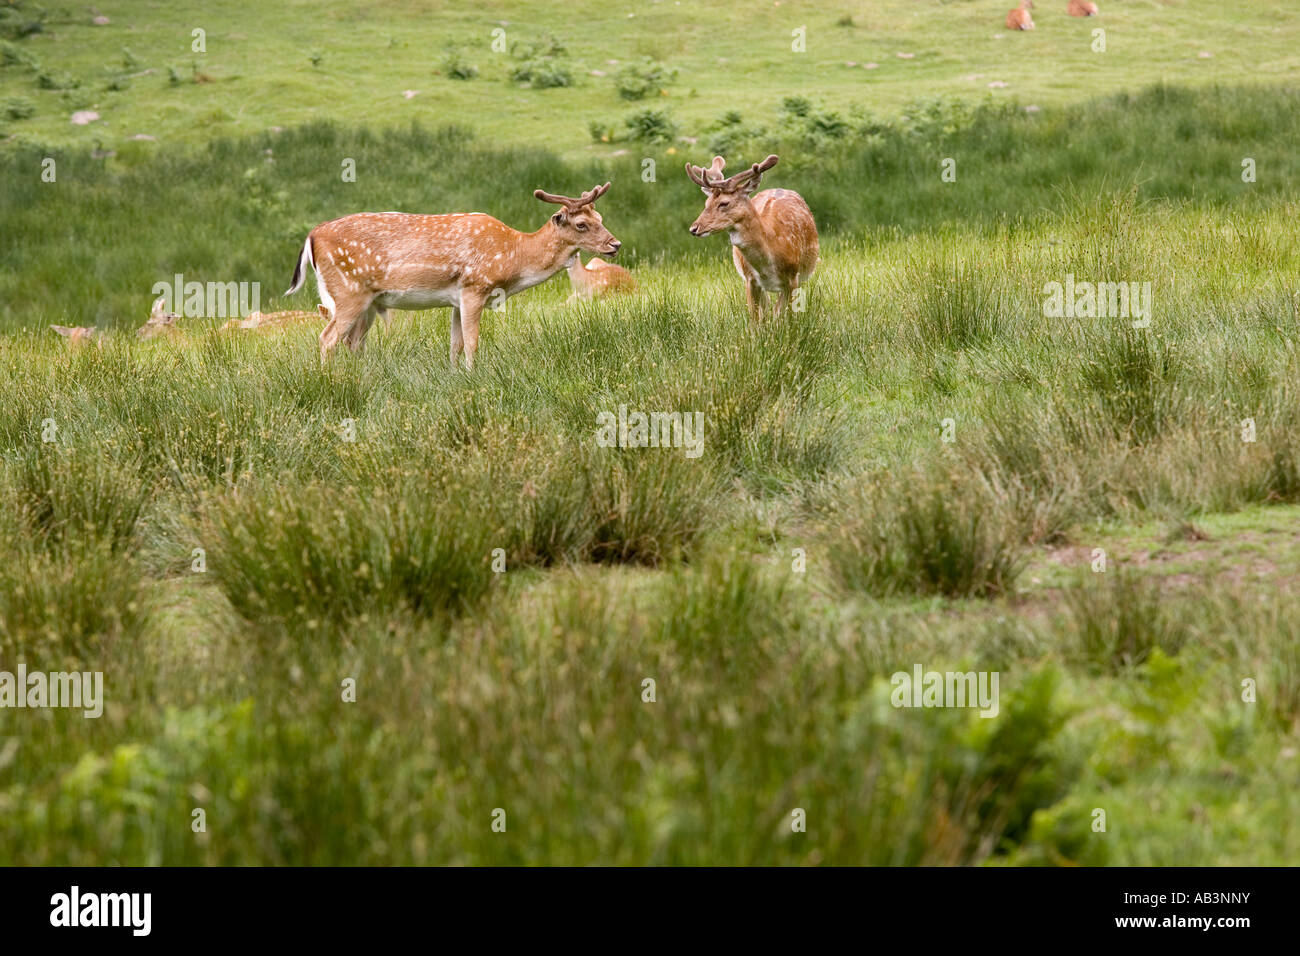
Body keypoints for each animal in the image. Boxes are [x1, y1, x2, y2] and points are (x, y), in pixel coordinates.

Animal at [284, 183, 622, 369]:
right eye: (581, 224)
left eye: (601, 217)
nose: (615, 244)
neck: (513, 257)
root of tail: (312, 236)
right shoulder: (475, 286)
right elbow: (472, 342)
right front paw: (474, 376)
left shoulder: (456, 300)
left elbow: (455, 344)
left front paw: (455, 375)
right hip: (348, 291)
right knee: (327, 338)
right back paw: (329, 378)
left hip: (367, 302)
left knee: (353, 342)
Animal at [685, 154, 819, 323]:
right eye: (706, 203)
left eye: (724, 203)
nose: (694, 228)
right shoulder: (750, 280)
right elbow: (755, 320)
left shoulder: (792, 277)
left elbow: (787, 317)